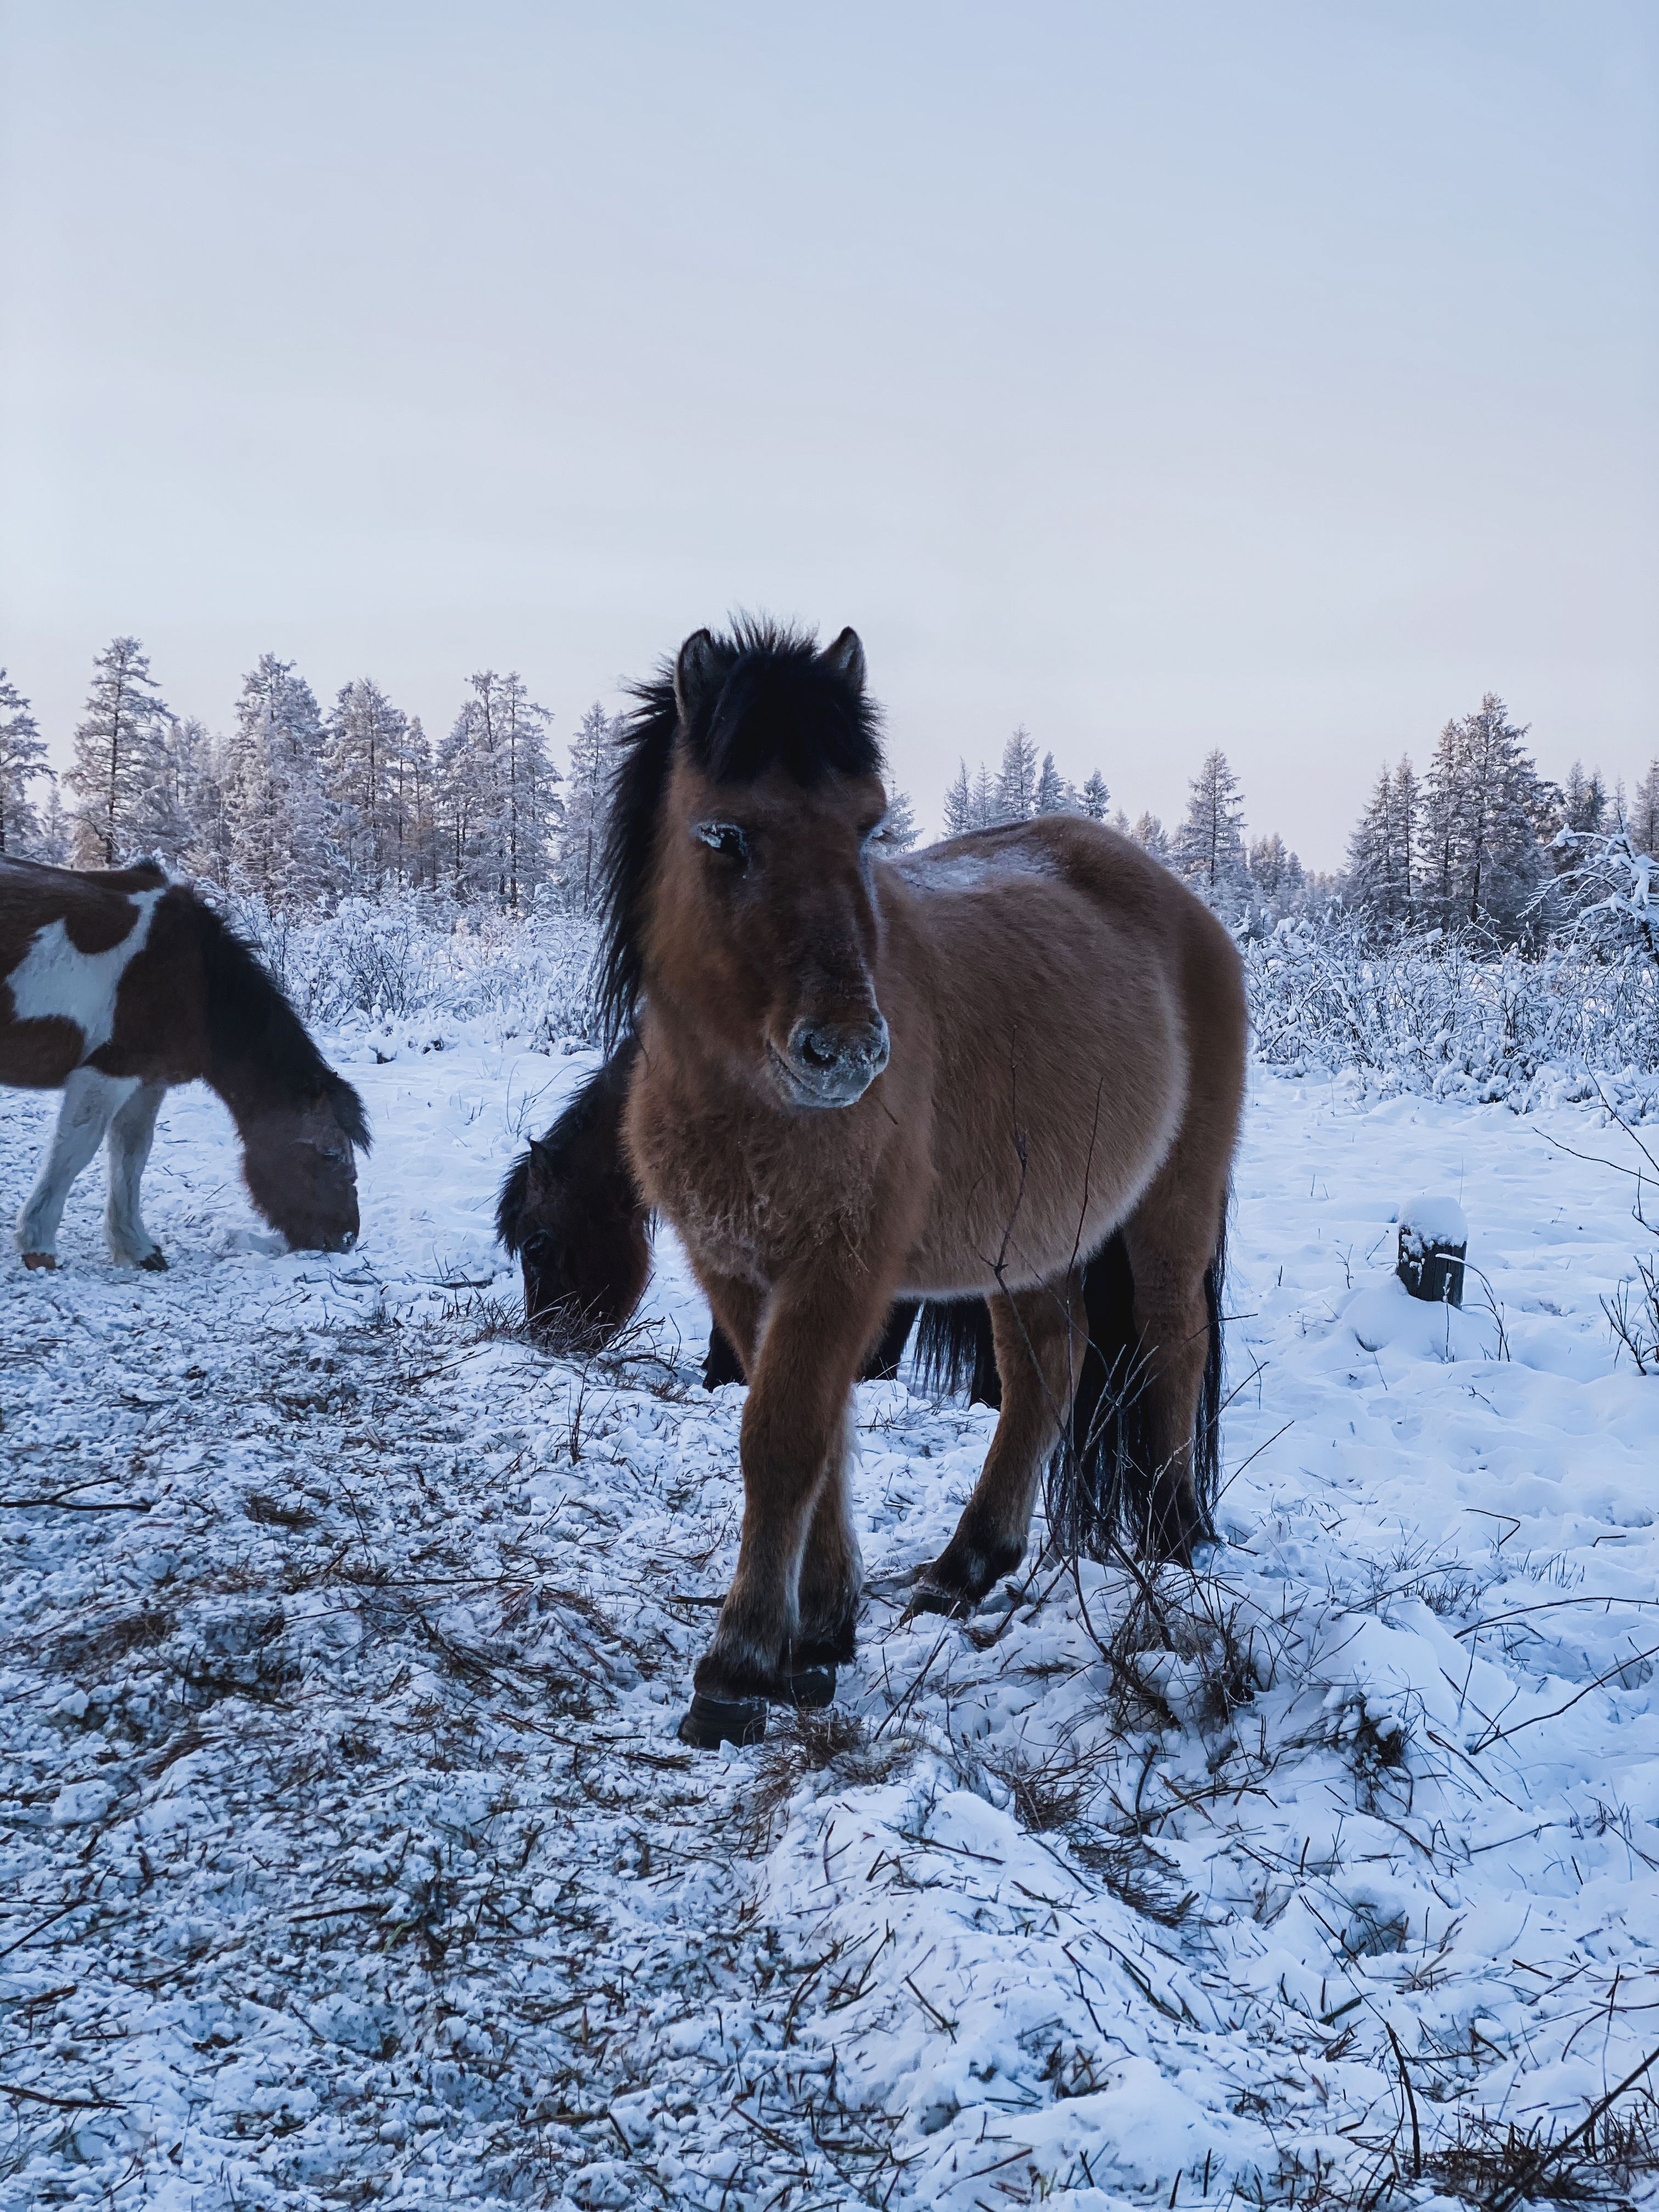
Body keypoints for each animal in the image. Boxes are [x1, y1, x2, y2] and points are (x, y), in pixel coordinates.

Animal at [1, 855, 369, 1269]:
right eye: (330, 1155)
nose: (345, 1238)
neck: (197, 980)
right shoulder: (110, 1071)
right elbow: (76, 1149)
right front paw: (39, 1245)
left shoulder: (147, 1078)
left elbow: (132, 1153)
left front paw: (136, 1247)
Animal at [600, 618, 1248, 1749]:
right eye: (723, 835)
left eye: (867, 828)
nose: (847, 1052)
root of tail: (1177, 902)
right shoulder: (737, 1268)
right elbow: (820, 1436)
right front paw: (818, 1634)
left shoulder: (839, 1271)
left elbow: (783, 1437)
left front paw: (737, 1664)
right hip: (1031, 1238)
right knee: (1046, 1366)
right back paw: (966, 1563)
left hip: (1169, 1209)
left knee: (1170, 1346)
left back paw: (1171, 1541)